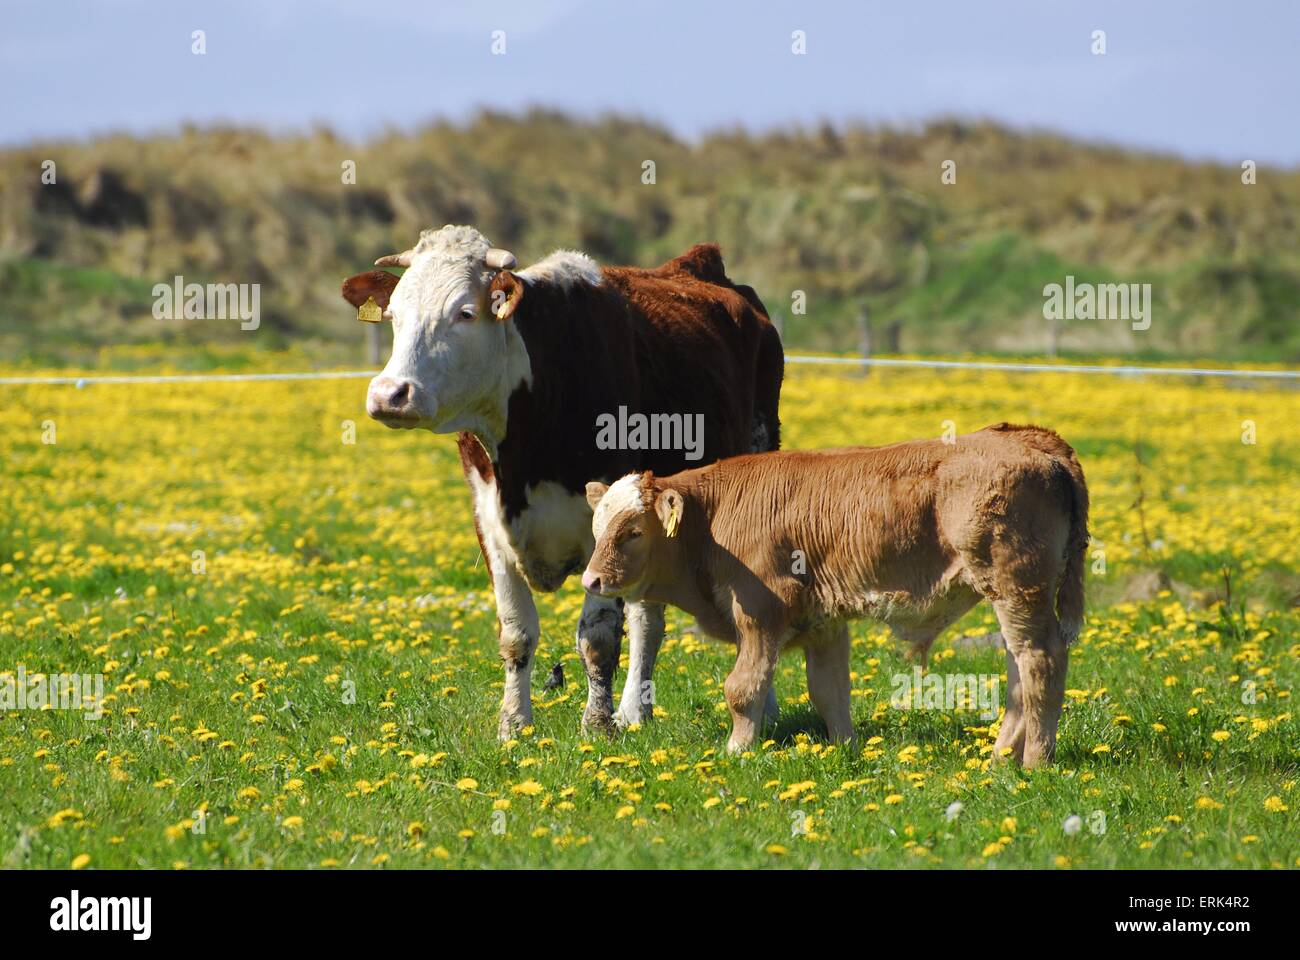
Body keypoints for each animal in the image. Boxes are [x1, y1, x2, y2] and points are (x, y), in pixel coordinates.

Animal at [341, 225, 784, 738]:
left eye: (465, 312)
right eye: (393, 315)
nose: (389, 394)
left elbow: (598, 637)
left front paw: (596, 726)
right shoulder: (487, 517)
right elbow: (516, 631)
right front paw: (513, 726)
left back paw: (764, 710)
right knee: (648, 617)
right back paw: (634, 712)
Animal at [580, 423, 1089, 766]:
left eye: (632, 531)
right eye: (598, 529)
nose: (592, 581)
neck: (713, 517)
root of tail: (1030, 439)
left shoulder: (760, 612)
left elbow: (743, 689)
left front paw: (736, 750)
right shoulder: (823, 621)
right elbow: (829, 692)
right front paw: (845, 749)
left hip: (1017, 590)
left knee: (1040, 660)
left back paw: (1034, 760)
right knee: (1018, 667)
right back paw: (1003, 754)